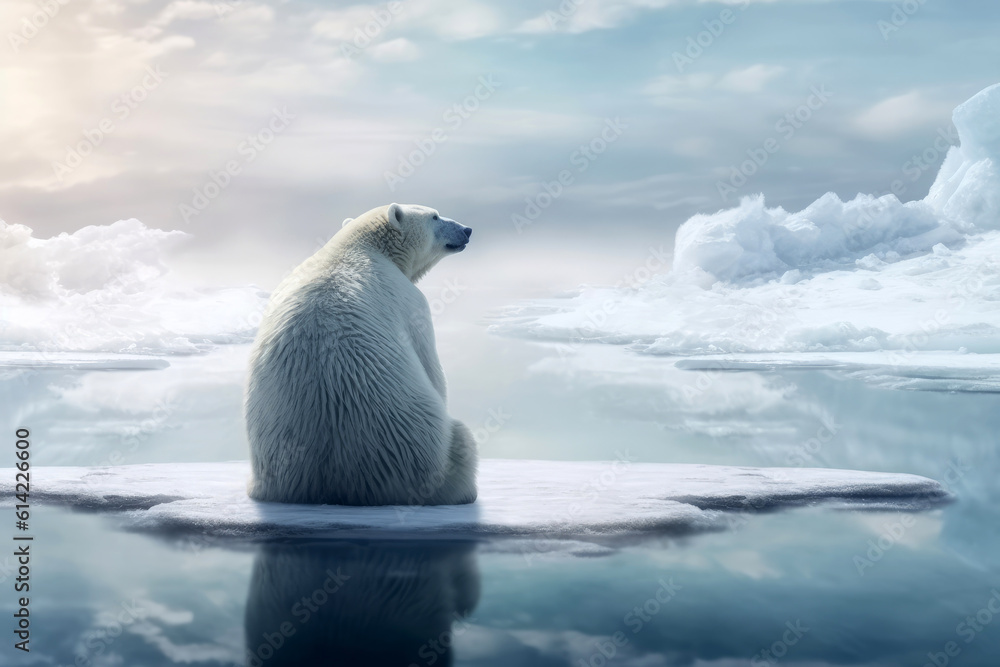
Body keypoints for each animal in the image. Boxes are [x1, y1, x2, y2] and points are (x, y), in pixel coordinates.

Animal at [244, 203, 477, 506]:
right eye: (435, 216)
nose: (467, 230)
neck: (360, 246)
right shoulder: (410, 303)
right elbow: (430, 366)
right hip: (431, 459)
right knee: (463, 442)